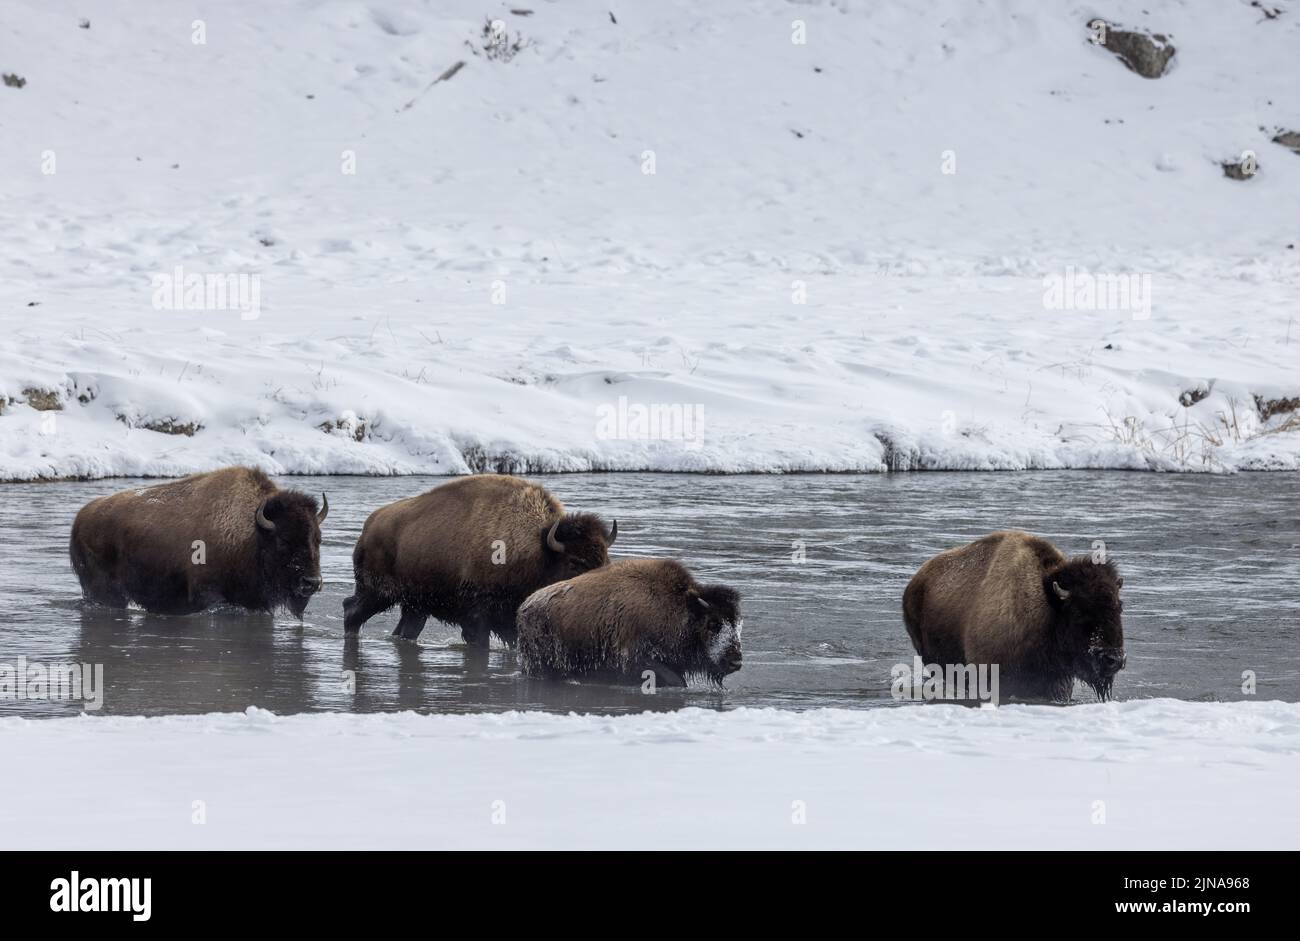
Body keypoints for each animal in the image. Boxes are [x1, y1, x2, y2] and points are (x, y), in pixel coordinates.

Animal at [70, 466, 328, 617]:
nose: (312, 582)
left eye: (318, 539)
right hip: (105, 592)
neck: (252, 533)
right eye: (283, 540)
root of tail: (81, 517)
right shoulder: (208, 595)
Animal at [343, 474, 616, 645]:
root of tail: (368, 528)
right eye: (573, 562)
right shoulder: (477, 618)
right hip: (377, 593)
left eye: (606, 559)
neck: (537, 549)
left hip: (415, 605)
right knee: (352, 610)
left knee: (406, 629)